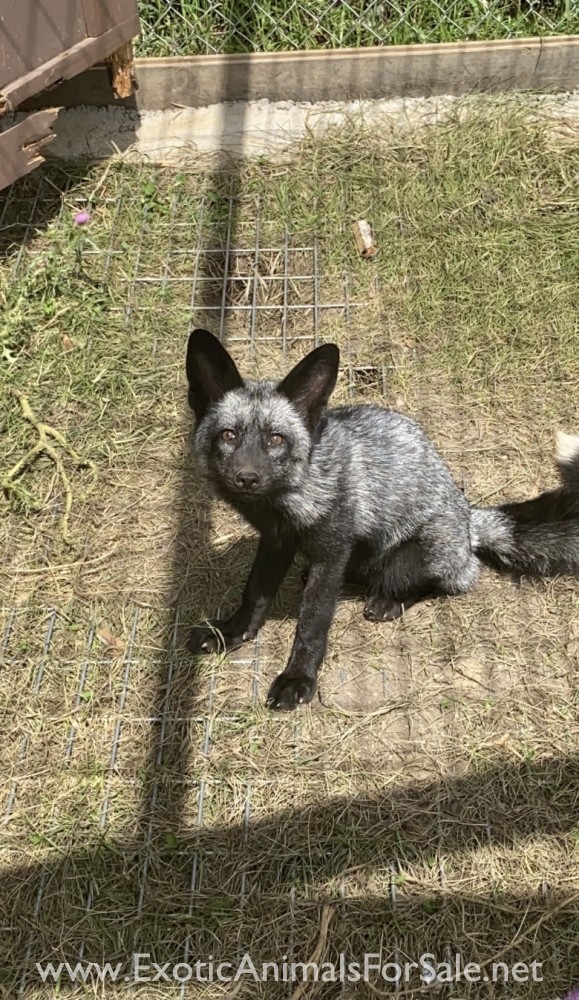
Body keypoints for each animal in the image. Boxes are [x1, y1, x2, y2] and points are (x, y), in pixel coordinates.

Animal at [186, 328, 579, 711]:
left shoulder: (331, 552)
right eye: (228, 435)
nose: (247, 478)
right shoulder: (276, 543)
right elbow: (254, 594)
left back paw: (391, 602)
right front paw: (230, 634)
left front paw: (298, 678)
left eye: (275, 439)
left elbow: (312, 622)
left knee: (451, 581)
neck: (294, 491)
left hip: (412, 561)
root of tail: (470, 523)